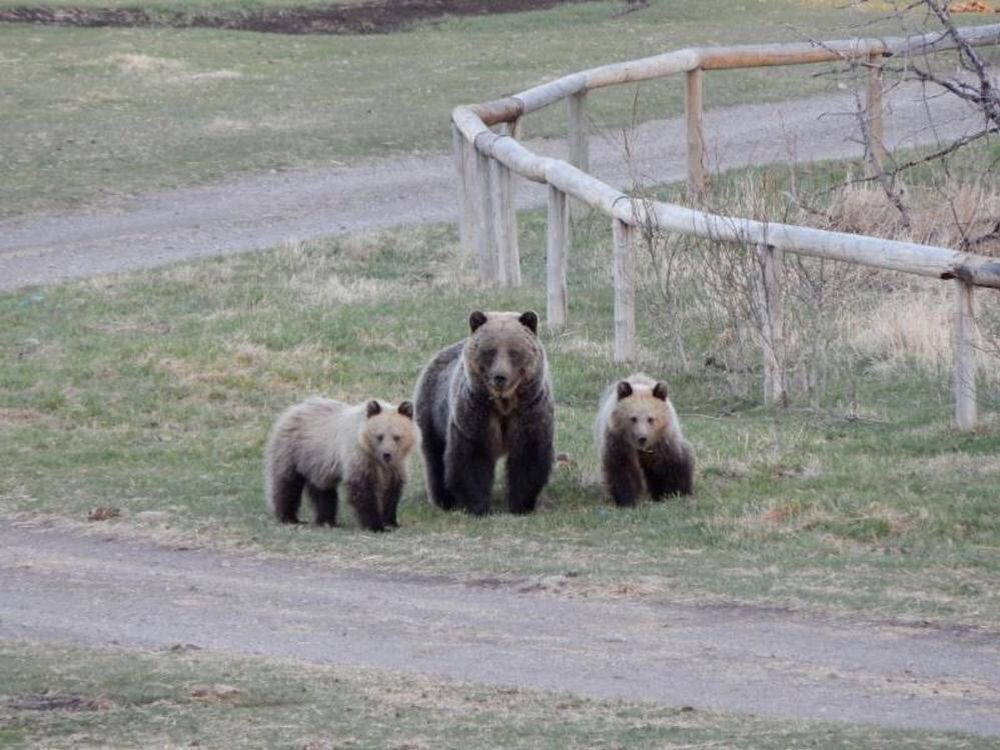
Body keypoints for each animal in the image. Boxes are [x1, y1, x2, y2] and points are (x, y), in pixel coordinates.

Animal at [264, 396, 417, 532]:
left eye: (397, 437)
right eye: (379, 436)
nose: (387, 454)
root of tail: (291, 410)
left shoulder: (397, 466)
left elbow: (392, 491)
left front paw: (391, 521)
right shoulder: (357, 457)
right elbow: (362, 489)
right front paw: (376, 525)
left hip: (317, 463)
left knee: (322, 491)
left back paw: (327, 520)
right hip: (292, 452)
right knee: (286, 483)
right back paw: (289, 517)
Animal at [413, 310, 554, 516]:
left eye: (514, 351)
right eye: (490, 351)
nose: (500, 377)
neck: (504, 403)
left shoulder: (529, 411)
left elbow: (528, 456)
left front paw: (521, 505)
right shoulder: (476, 413)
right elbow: (472, 458)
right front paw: (477, 506)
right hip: (432, 410)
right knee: (435, 456)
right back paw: (444, 499)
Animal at [594, 373, 693, 507]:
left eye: (650, 419)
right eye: (633, 418)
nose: (642, 438)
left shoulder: (665, 441)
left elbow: (673, 464)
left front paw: (677, 492)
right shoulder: (618, 442)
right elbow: (622, 470)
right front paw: (627, 499)